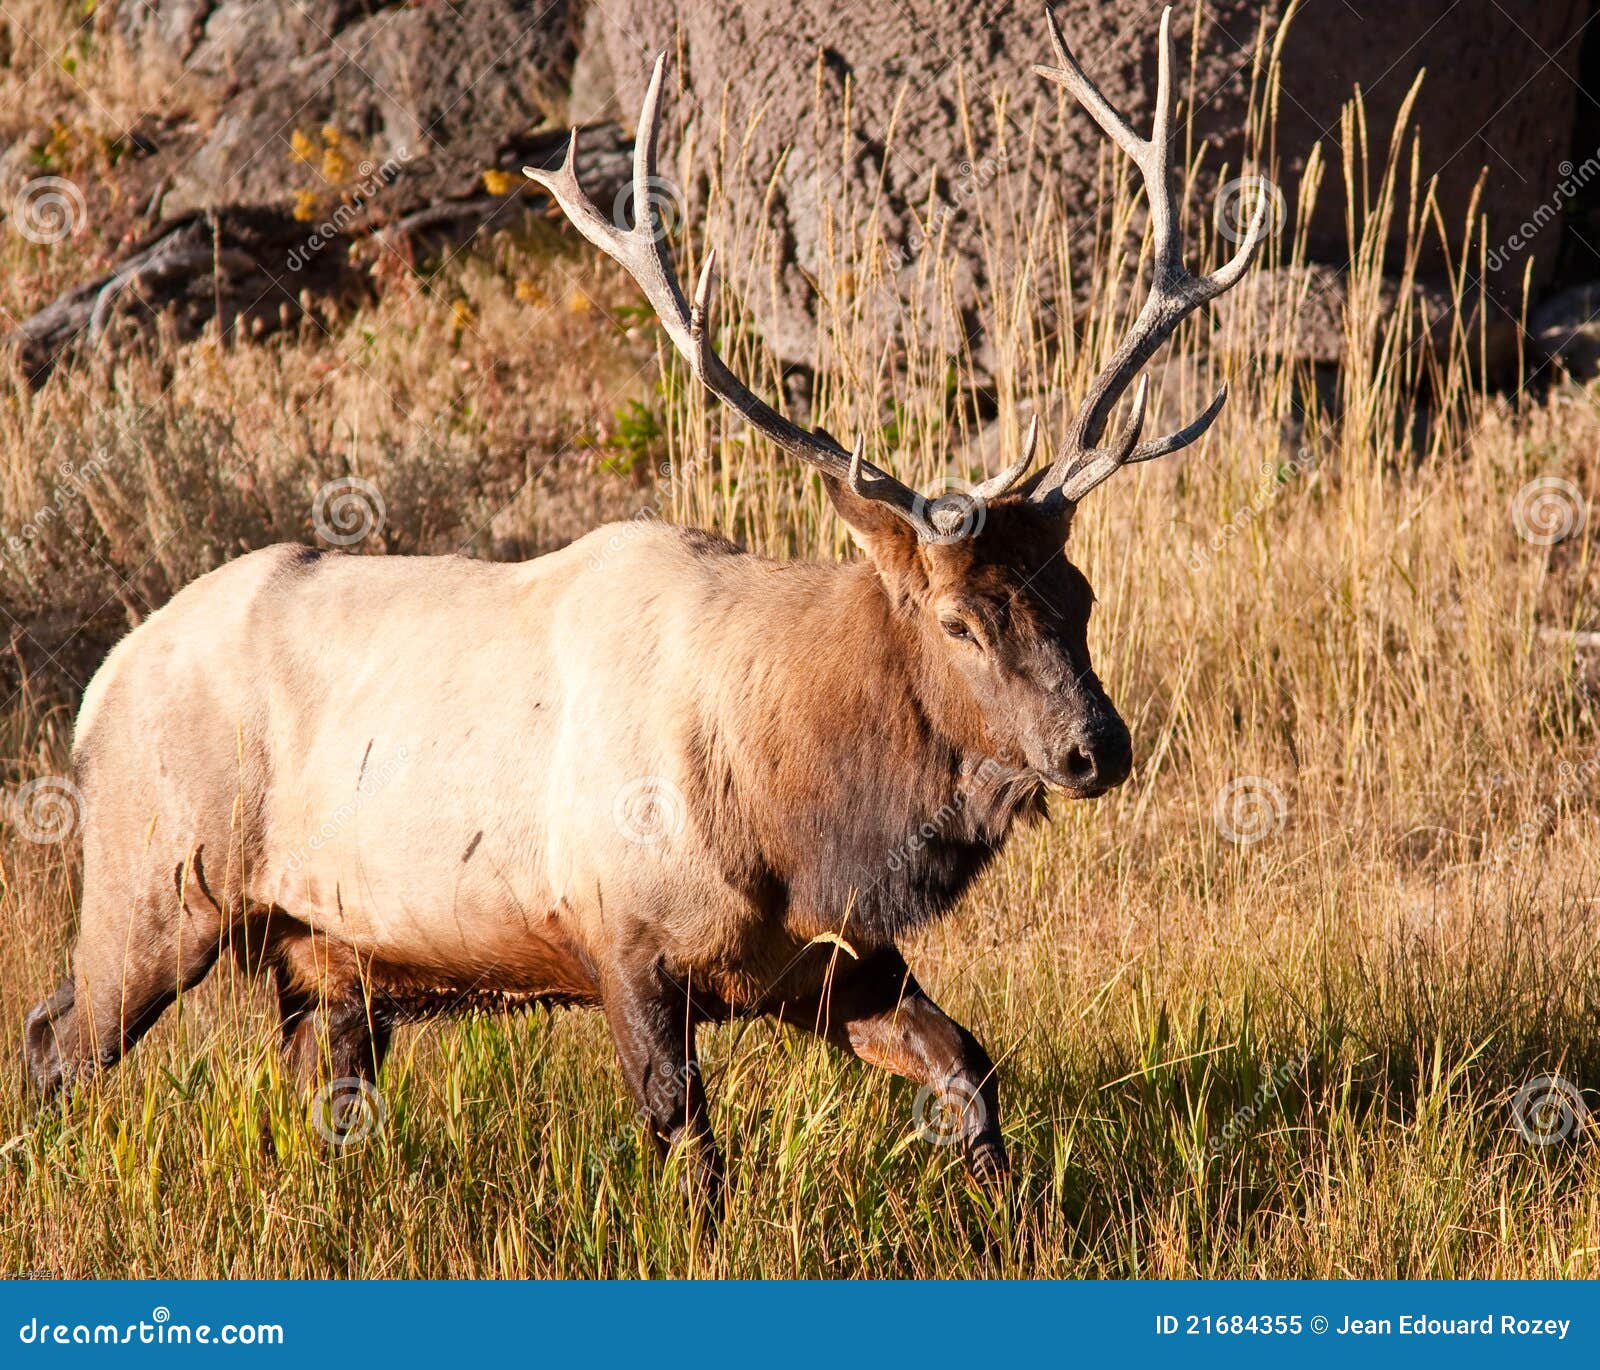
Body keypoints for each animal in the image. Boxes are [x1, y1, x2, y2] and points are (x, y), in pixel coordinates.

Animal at [23, 6, 1264, 1221]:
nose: (1095, 745)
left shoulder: (821, 959)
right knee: (56, 1036)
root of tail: (96, 689)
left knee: (315, 1090)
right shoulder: (618, 933)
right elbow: (688, 1149)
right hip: (153, 880)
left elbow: (968, 1065)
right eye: (958, 620)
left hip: (326, 957)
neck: (789, 804)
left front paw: (1014, 1220)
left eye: (1078, 596)